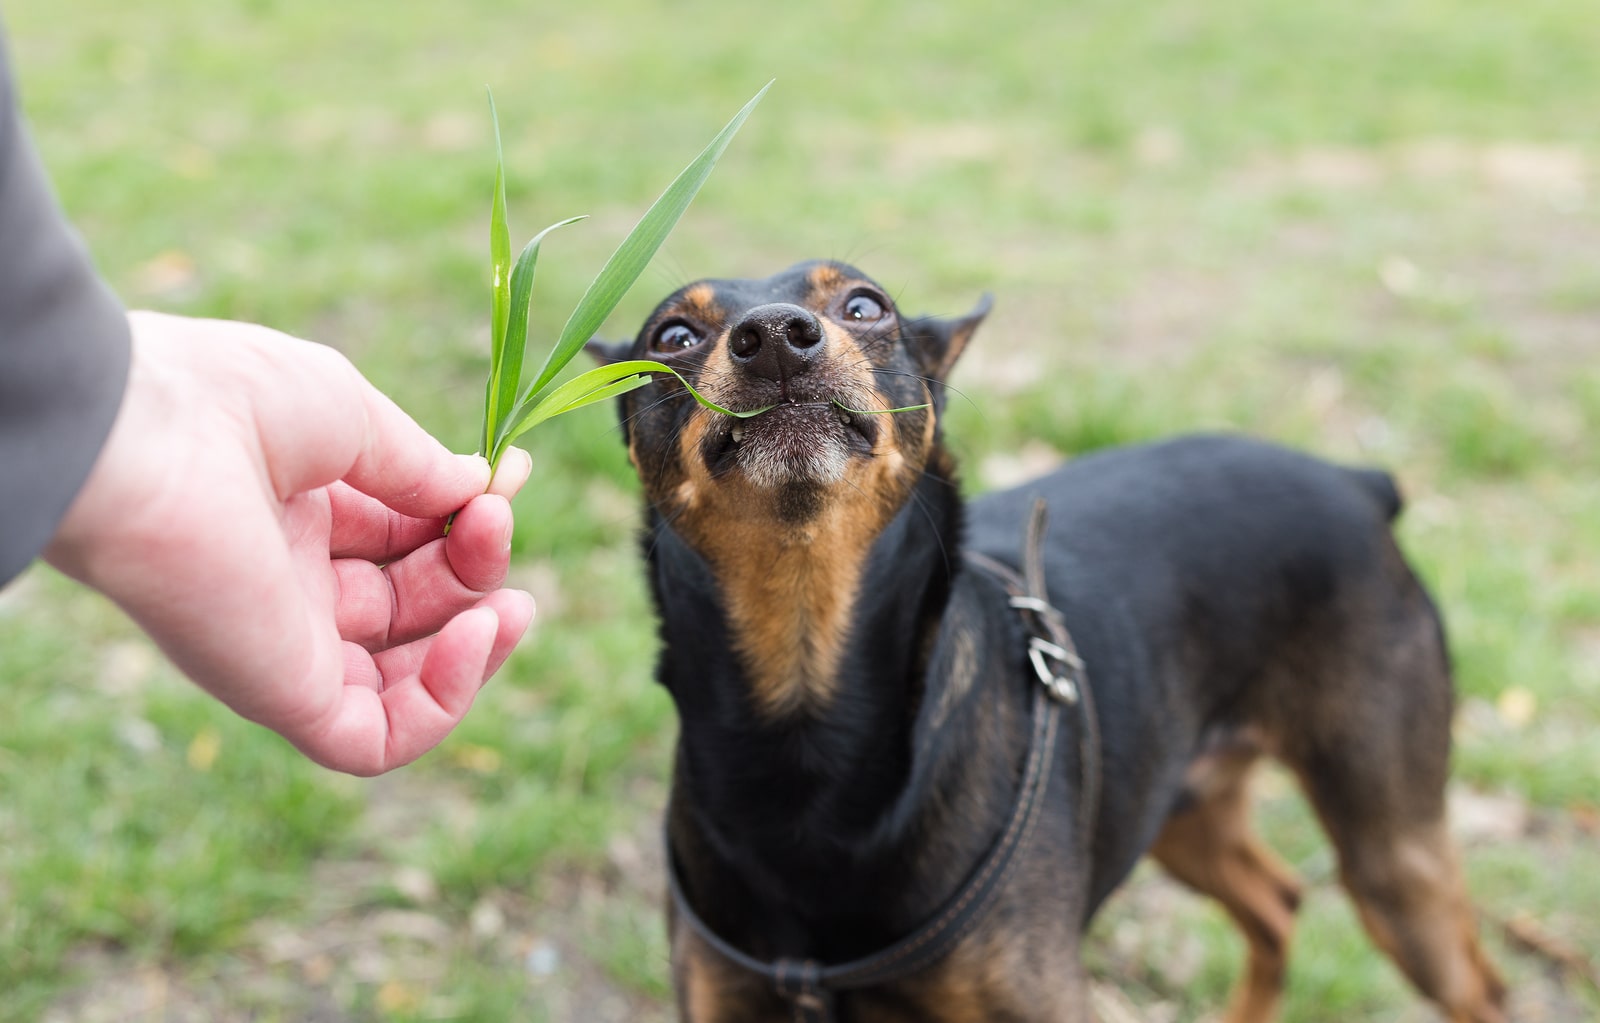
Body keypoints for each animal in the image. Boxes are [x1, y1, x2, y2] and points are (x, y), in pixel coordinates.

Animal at [592, 264, 1510, 1023]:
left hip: (1393, 856)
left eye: (864, 305)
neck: (804, 716)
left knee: (1476, 984)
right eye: (670, 336)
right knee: (1278, 902)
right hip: (1182, 803)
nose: (777, 334)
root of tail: (1359, 484)